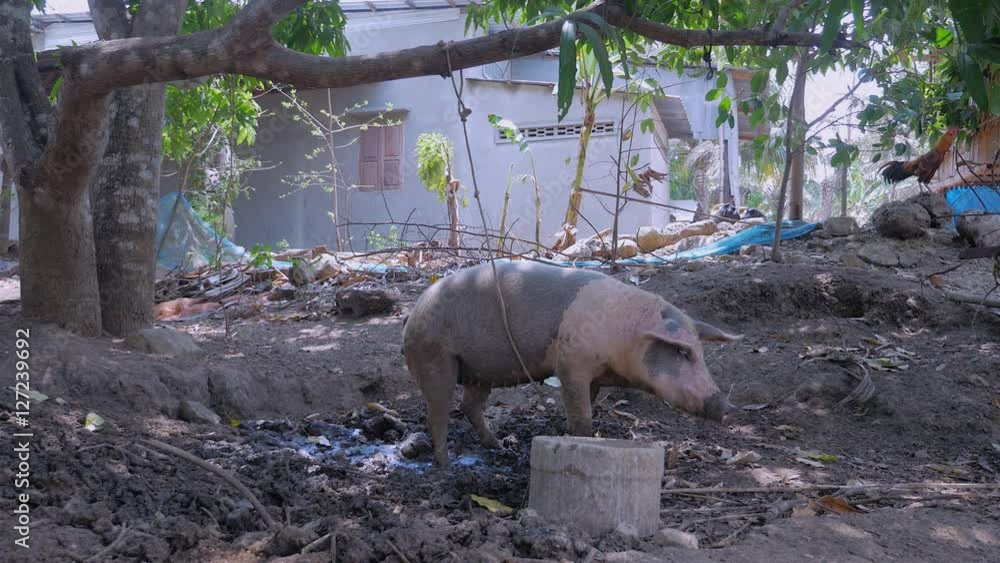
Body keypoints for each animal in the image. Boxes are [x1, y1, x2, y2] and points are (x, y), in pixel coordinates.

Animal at [401, 261, 740, 466]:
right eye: (682, 353)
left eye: (700, 353)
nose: (726, 408)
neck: (624, 338)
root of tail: (412, 314)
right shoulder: (571, 365)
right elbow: (582, 414)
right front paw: (580, 436)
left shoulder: (595, 377)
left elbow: (587, 406)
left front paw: (567, 434)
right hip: (434, 357)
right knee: (438, 412)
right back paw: (445, 464)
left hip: (480, 373)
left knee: (469, 407)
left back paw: (500, 447)